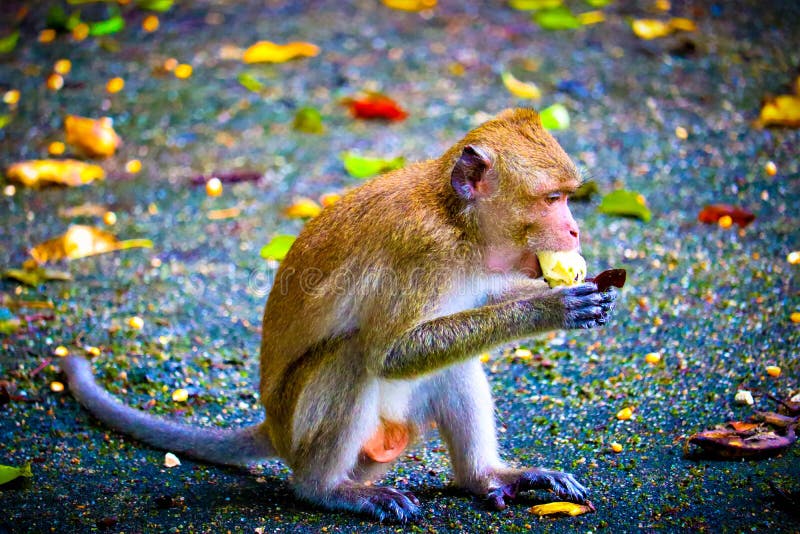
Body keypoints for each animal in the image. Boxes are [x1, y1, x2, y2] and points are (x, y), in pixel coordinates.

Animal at [63, 107, 617, 522]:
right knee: (354, 356)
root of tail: (273, 426)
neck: (458, 224)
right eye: (553, 199)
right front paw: (549, 307)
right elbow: (391, 353)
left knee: (452, 363)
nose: (574, 231)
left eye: (567, 198)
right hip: (304, 428)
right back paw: (326, 489)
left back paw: (486, 477)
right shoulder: (419, 253)